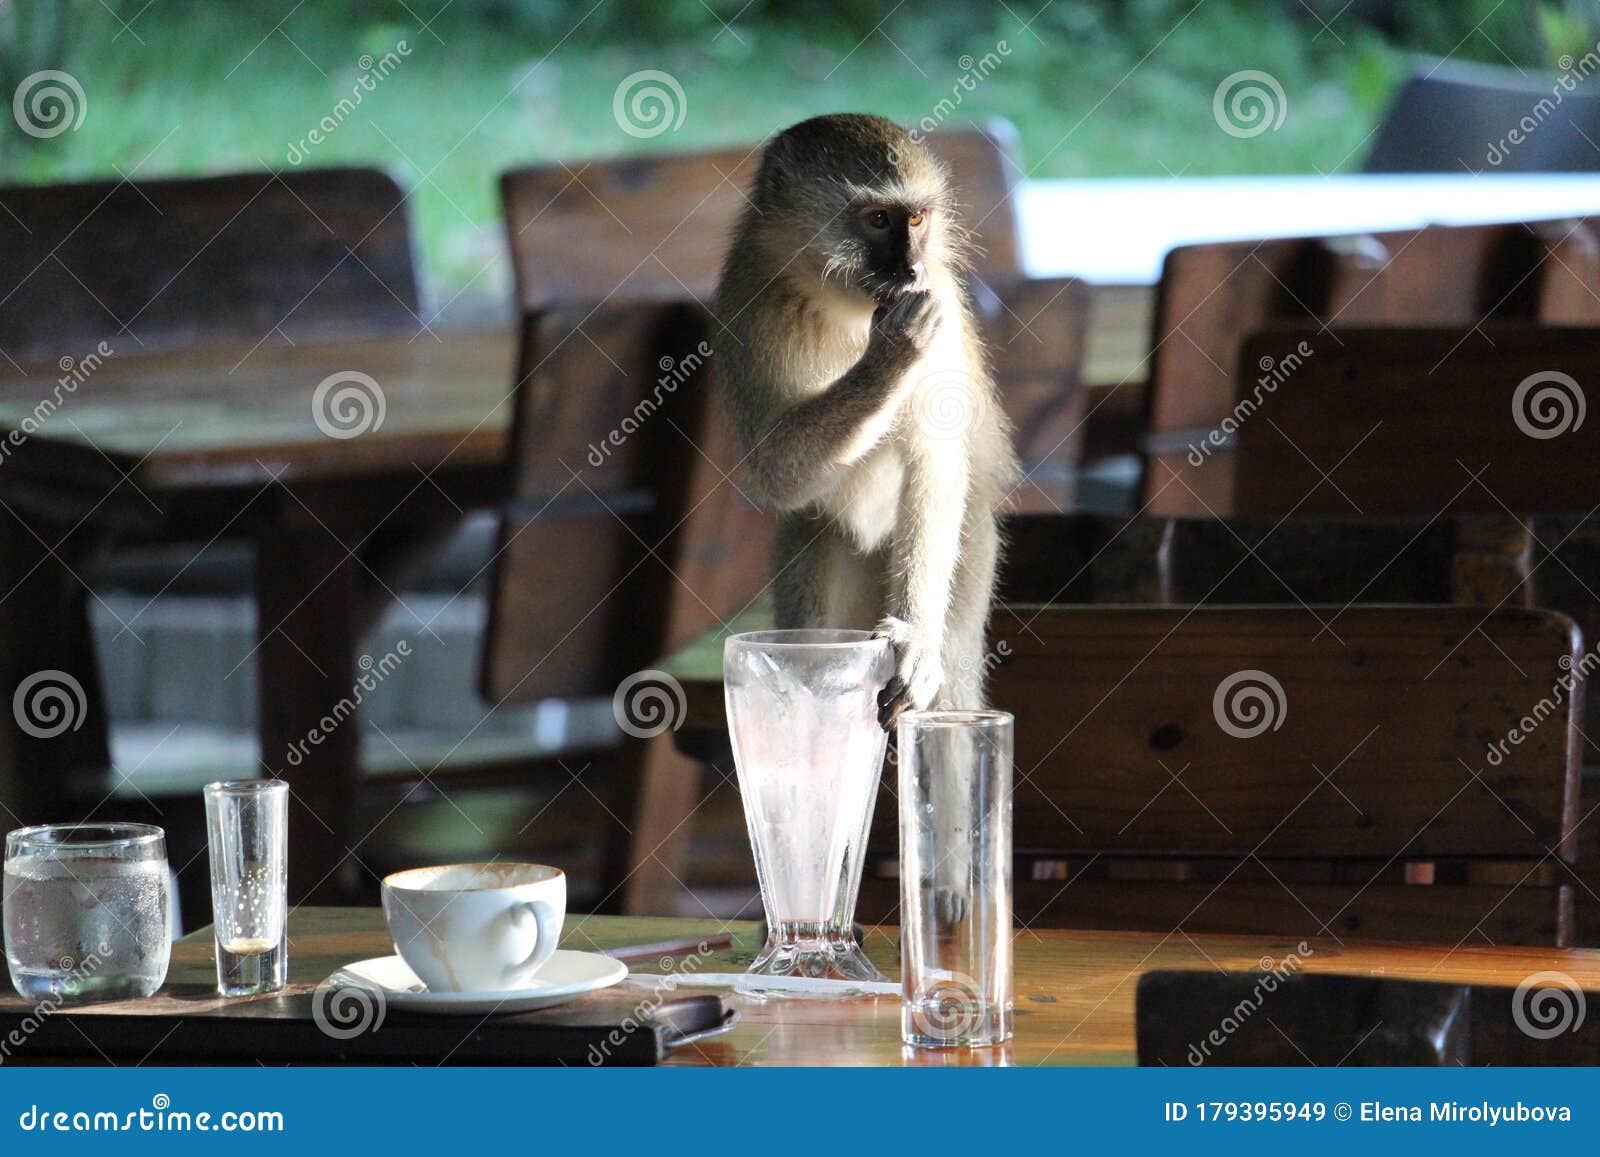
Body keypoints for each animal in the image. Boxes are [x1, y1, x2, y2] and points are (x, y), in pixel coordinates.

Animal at [712, 113, 1017, 730]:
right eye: (878, 220)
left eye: (916, 218)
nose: (910, 266)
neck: (837, 301)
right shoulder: (748, 303)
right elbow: (775, 473)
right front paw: (892, 356)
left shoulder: (938, 298)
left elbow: (935, 460)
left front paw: (915, 641)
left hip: (971, 553)